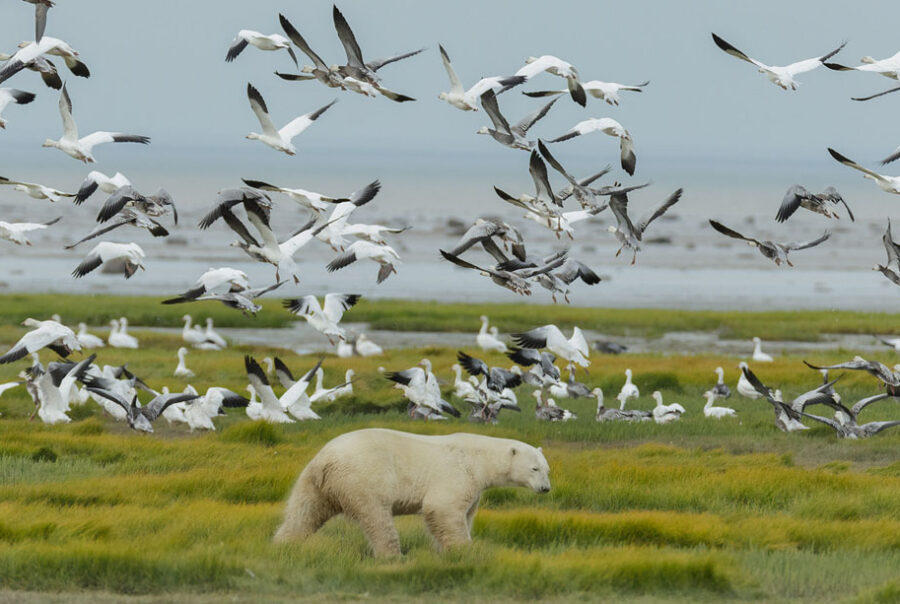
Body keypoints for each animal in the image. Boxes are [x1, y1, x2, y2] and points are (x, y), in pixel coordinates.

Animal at [273, 428, 551, 556]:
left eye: (548, 470)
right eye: (535, 468)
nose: (546, 488)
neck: (479, 458)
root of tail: (325, 460)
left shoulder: (473, 486)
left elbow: (466, 513)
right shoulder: (455, 473)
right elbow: (443, 508)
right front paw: (464, 550)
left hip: (314, 483)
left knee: (304, 513)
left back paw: (283, 544)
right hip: (363, 478)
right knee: (377, 517)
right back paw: (393, 555)